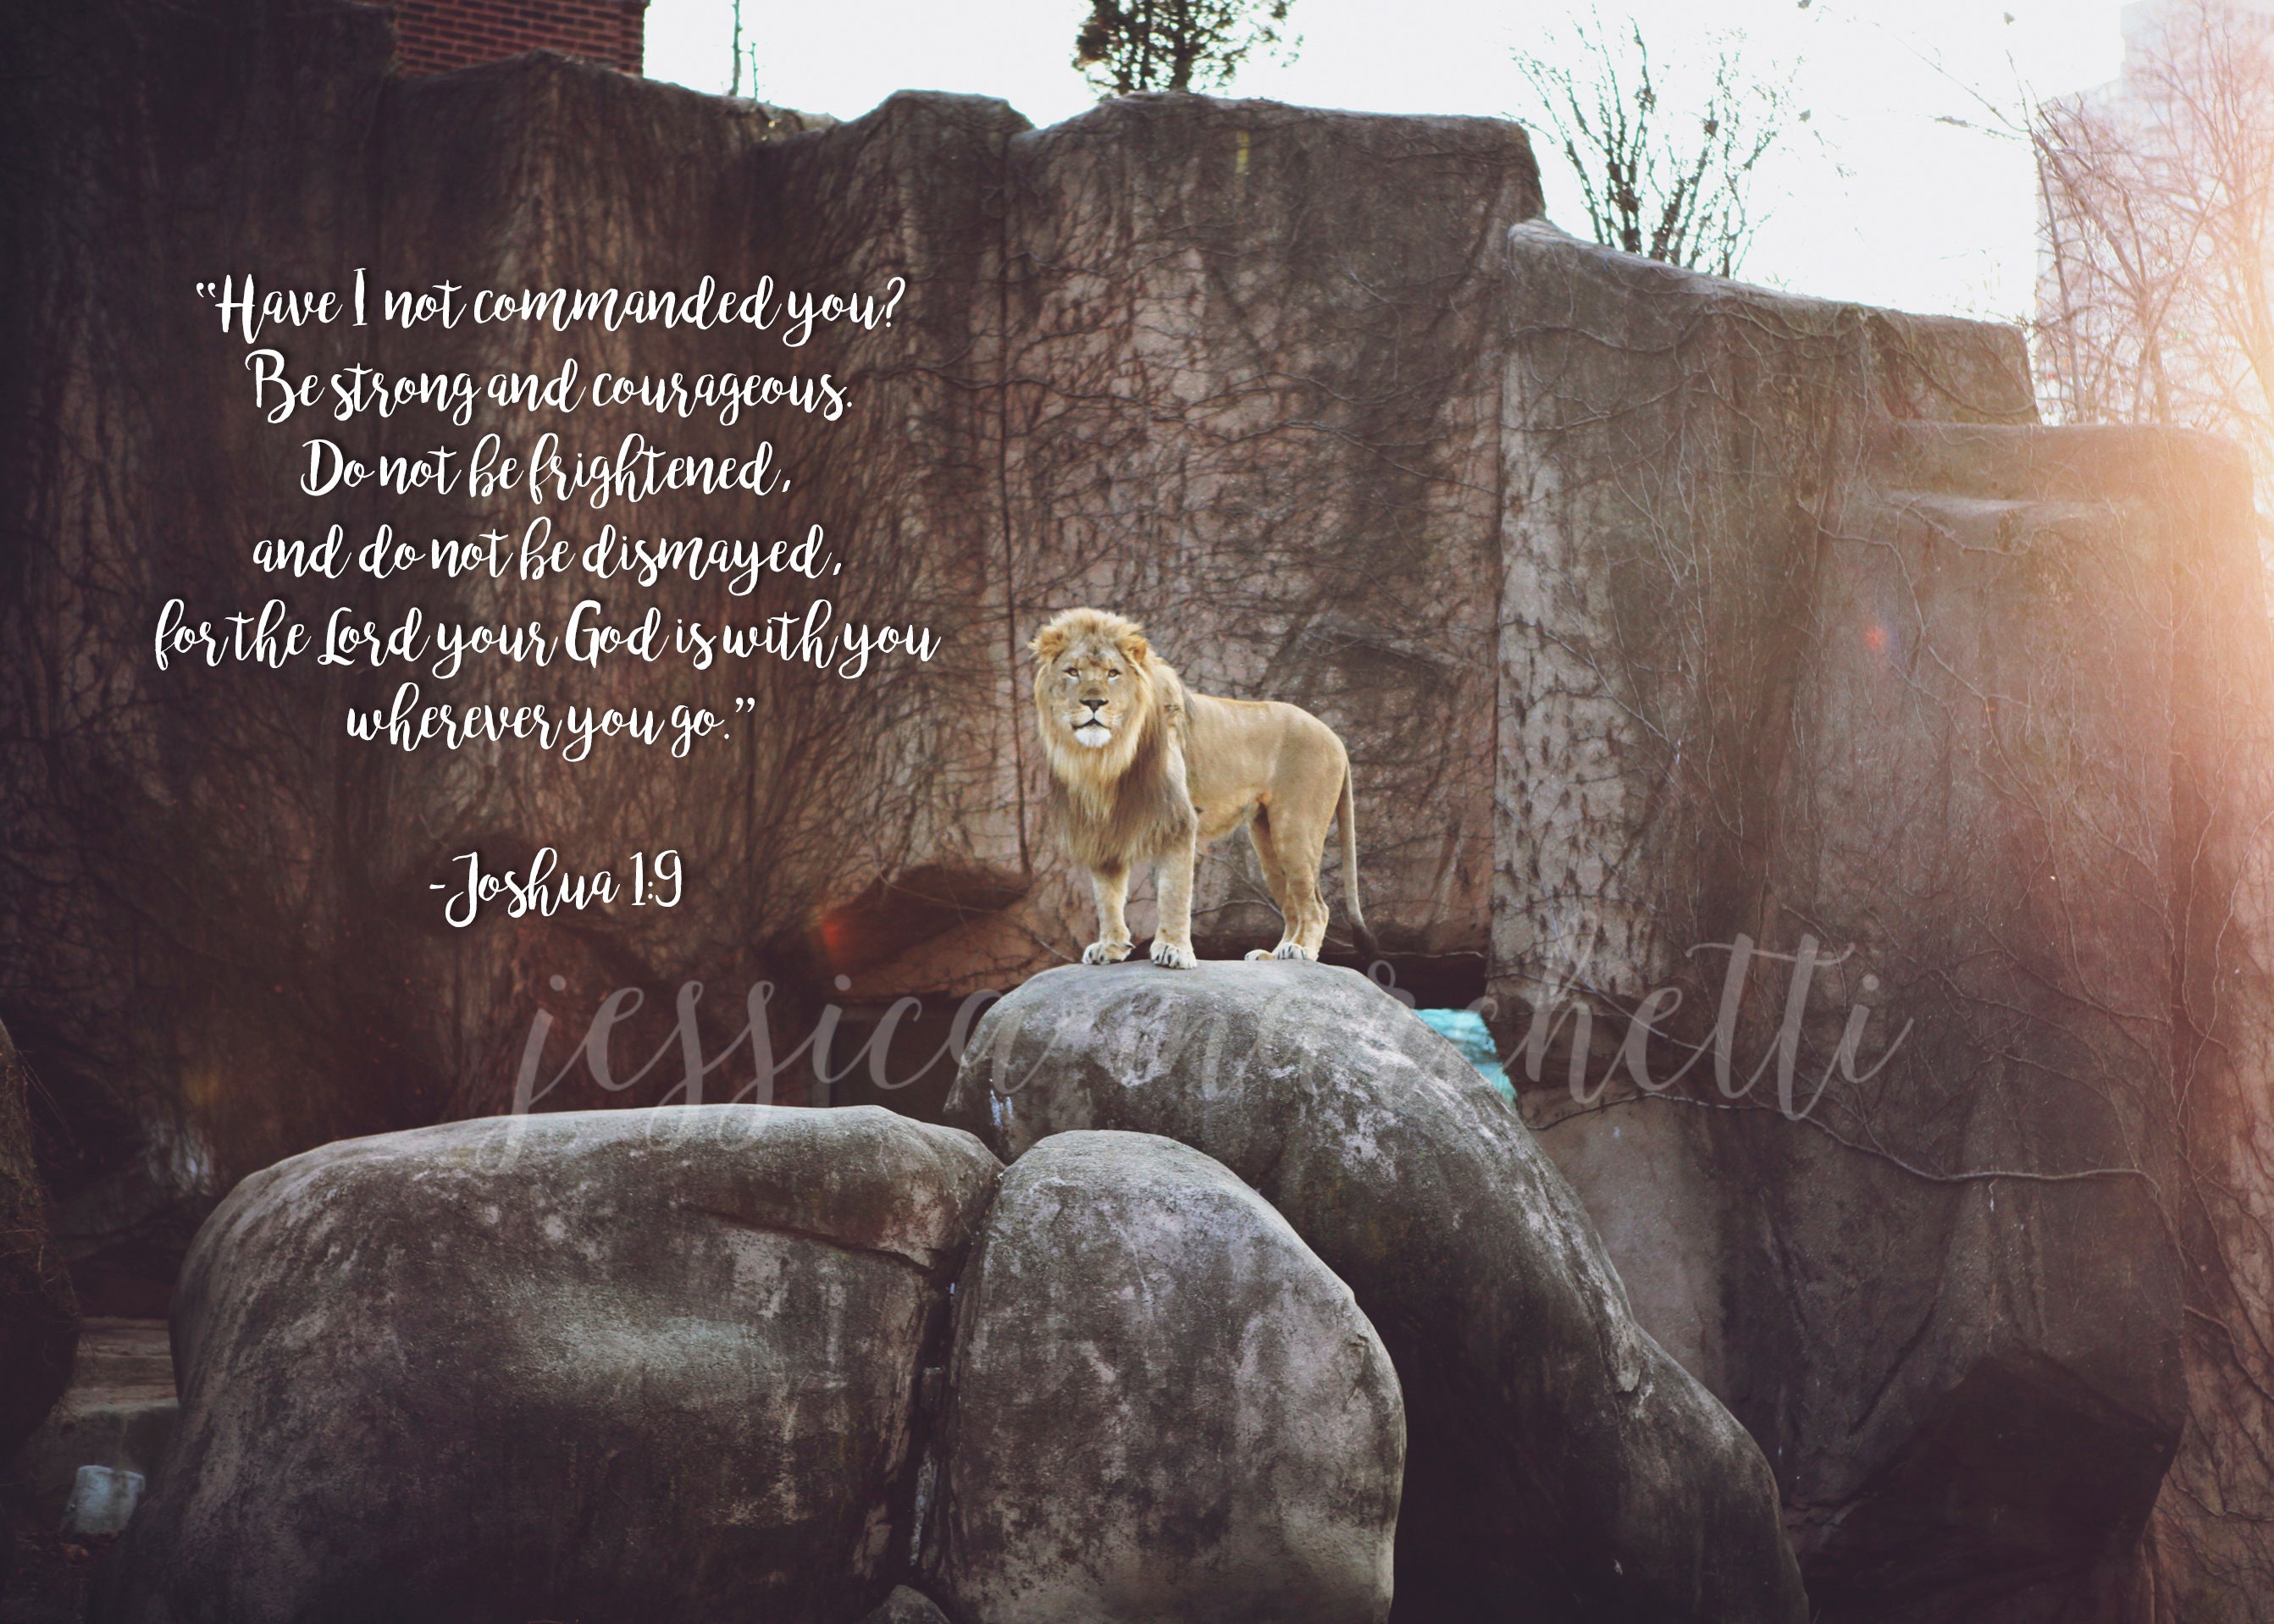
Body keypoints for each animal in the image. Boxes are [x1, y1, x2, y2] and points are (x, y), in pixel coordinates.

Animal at [1030, 606, 1378, 971]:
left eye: (1113, 673)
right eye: (1073, 672)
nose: (1095, 702)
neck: (1104, 758)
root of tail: (1334, 735)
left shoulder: (1177, 821)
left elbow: (1173, 892)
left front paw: (1173, 950)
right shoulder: (1102, 829)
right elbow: (1106, 895)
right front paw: (1110, 947)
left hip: (1296, 829)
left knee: (1316, 905)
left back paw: (1301, 950)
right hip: (1267, 840)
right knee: (1293, 904)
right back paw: (1274, 954)